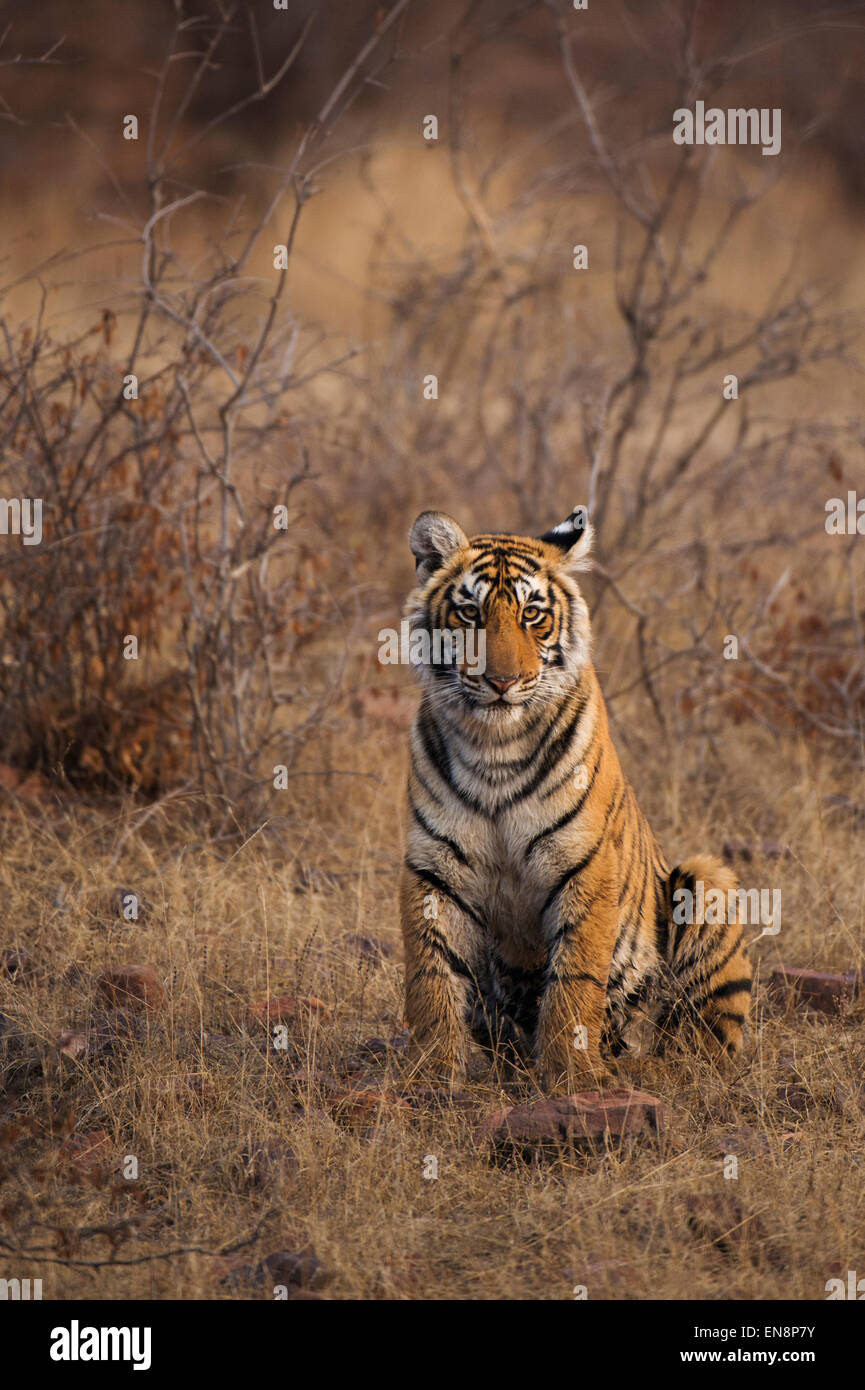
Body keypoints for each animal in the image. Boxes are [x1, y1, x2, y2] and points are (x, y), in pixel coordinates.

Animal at [399, 507, 752, 1093]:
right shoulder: (433, 868)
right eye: (470, 613)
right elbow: (431, 974)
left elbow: (575, 977)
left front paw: (571, 1078)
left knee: (705, 1047)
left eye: (532, 614)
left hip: (710, 879)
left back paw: (649, 1068)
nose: (502, 682)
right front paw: (433, 1072)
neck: (495, 748)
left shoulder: (584, 862)